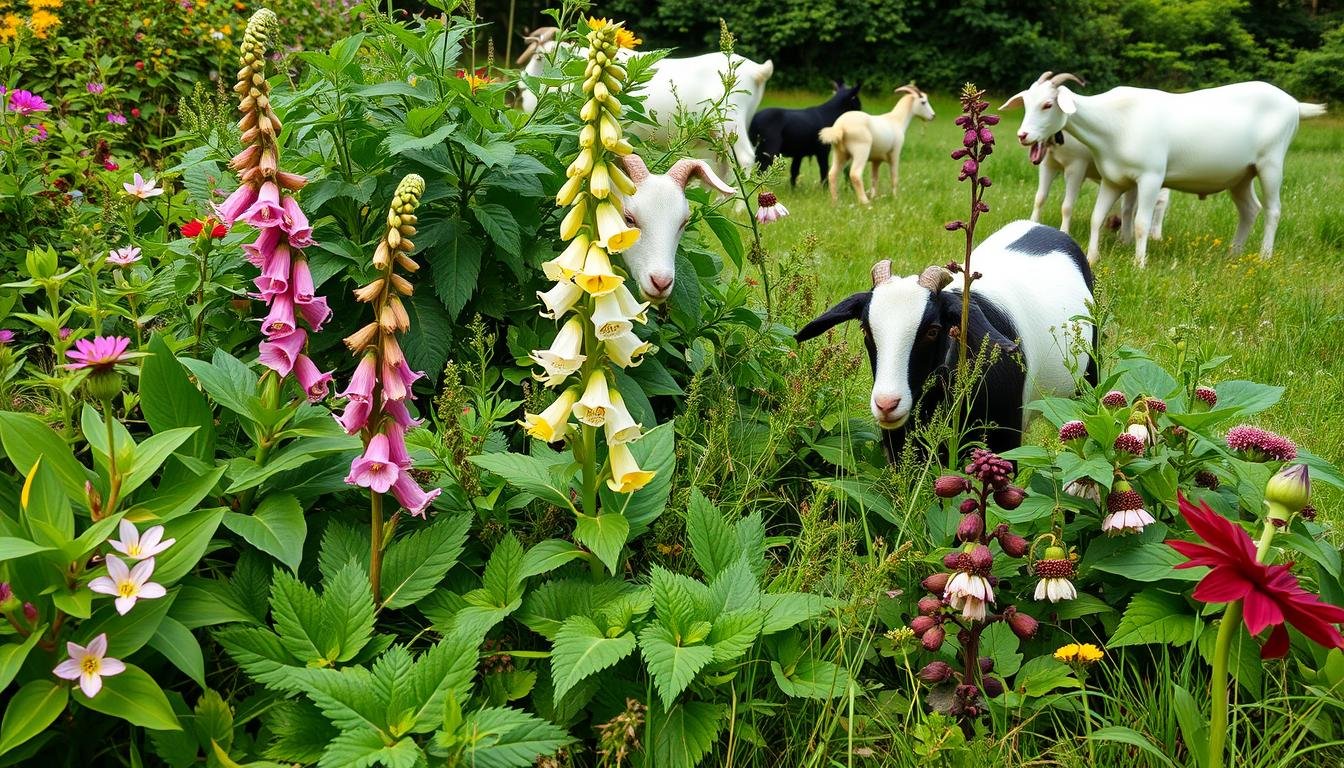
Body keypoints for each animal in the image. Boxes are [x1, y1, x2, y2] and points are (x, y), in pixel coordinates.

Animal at [795, 220, 1096, 459]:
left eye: (932, 330)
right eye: (866, 330)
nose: (887, 404)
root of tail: (1045, 228)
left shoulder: (1006, 443)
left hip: (1088, 383)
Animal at [1031, 132, 1171, 241]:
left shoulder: (1077, 166)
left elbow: (1067, 206)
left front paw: (1064, 231)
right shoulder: (1048, 164)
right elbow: (1040, 198)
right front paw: (1032, 223)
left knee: (1160, 201)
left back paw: (1155, 236)